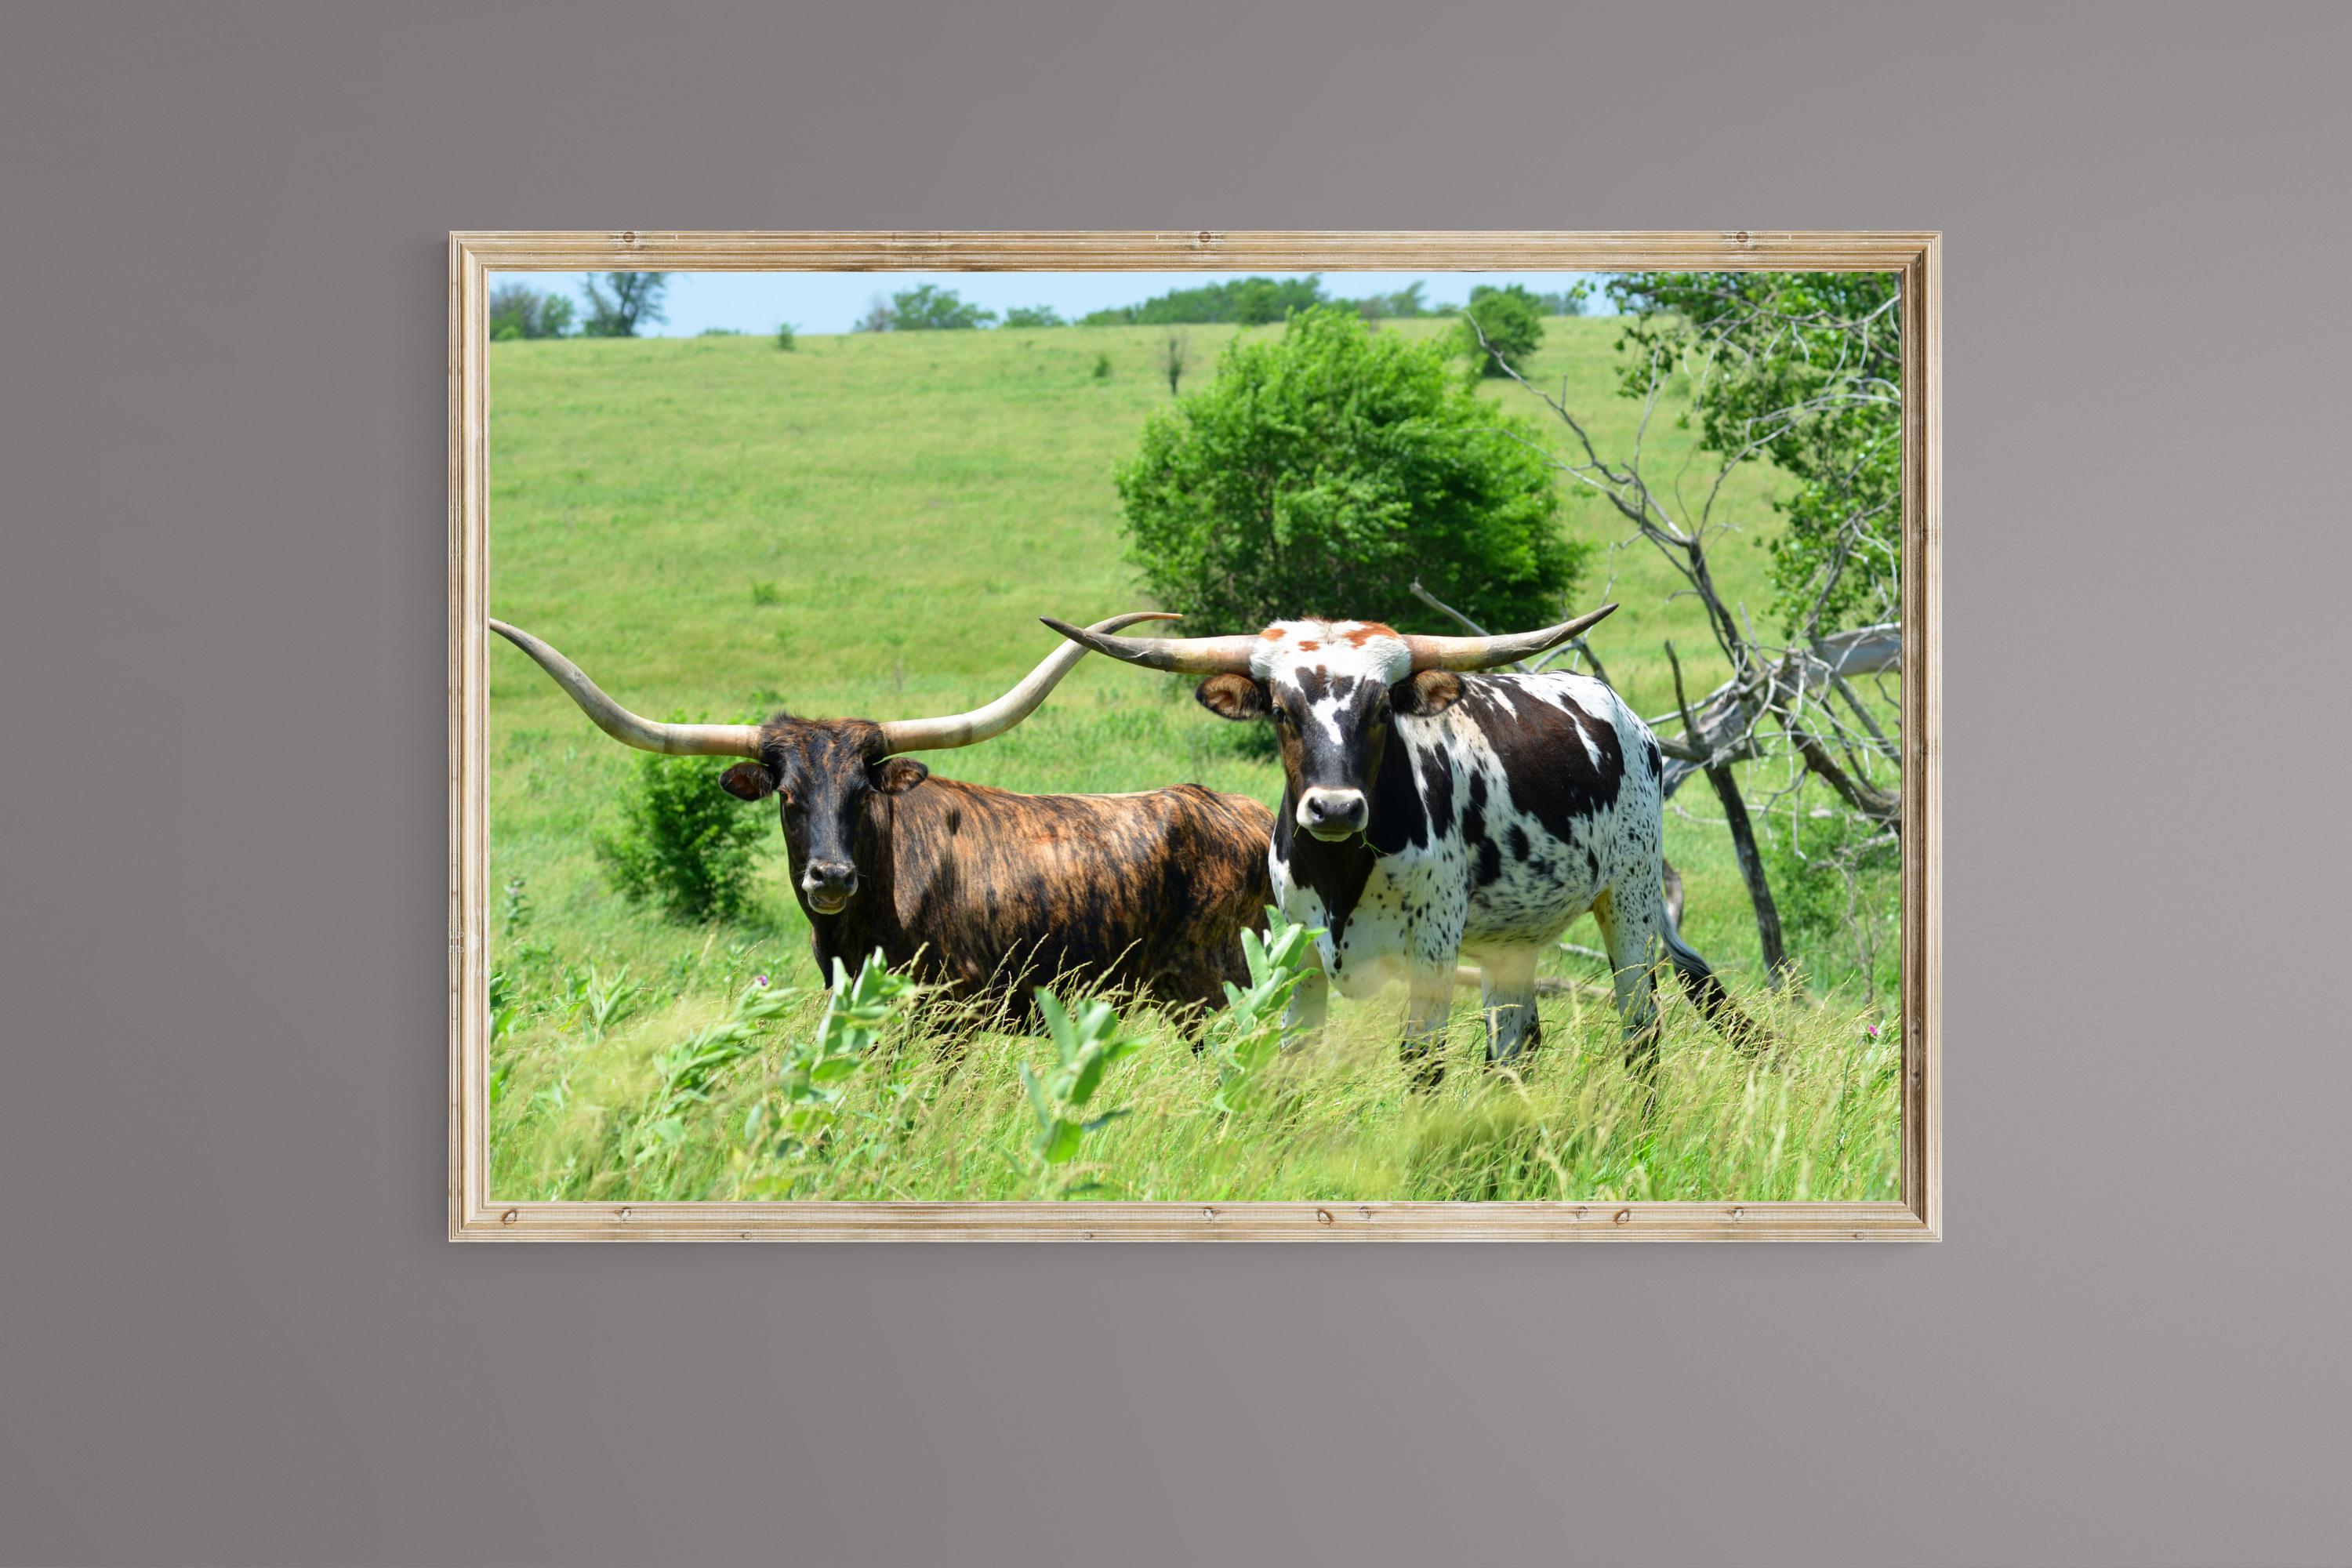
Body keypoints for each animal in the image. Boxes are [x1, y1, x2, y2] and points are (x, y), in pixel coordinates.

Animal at [491, 614, 1275, 1013]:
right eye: (787, 796)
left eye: (863, 794)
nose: (831, 878)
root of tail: (1247, 813)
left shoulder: (950, 1012)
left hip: (1222, 987)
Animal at [1044, 606, 1749, 1085]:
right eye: (1281, 711)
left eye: (1382, 710)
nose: (1334, 808)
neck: (1341, 871)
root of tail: (1625, 716)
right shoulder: (1299, 958)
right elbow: (1291, 1066)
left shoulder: (1431, 955)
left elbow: (1422, 1068)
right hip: (1512, 939)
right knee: (1514, 1044)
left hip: (1631, 901)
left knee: (1640, 1029)